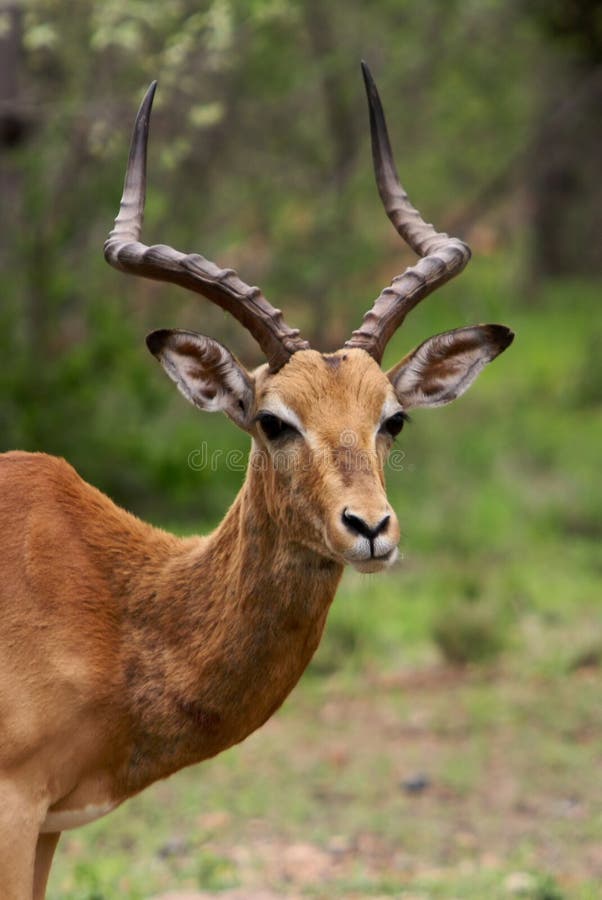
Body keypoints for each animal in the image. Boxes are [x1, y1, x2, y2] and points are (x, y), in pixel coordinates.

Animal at [0, 63, 513, 898]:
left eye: (393, 419)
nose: (371, 528)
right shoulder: (16, 808)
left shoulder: (48, 825)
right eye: (273, 420)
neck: (111, 600)